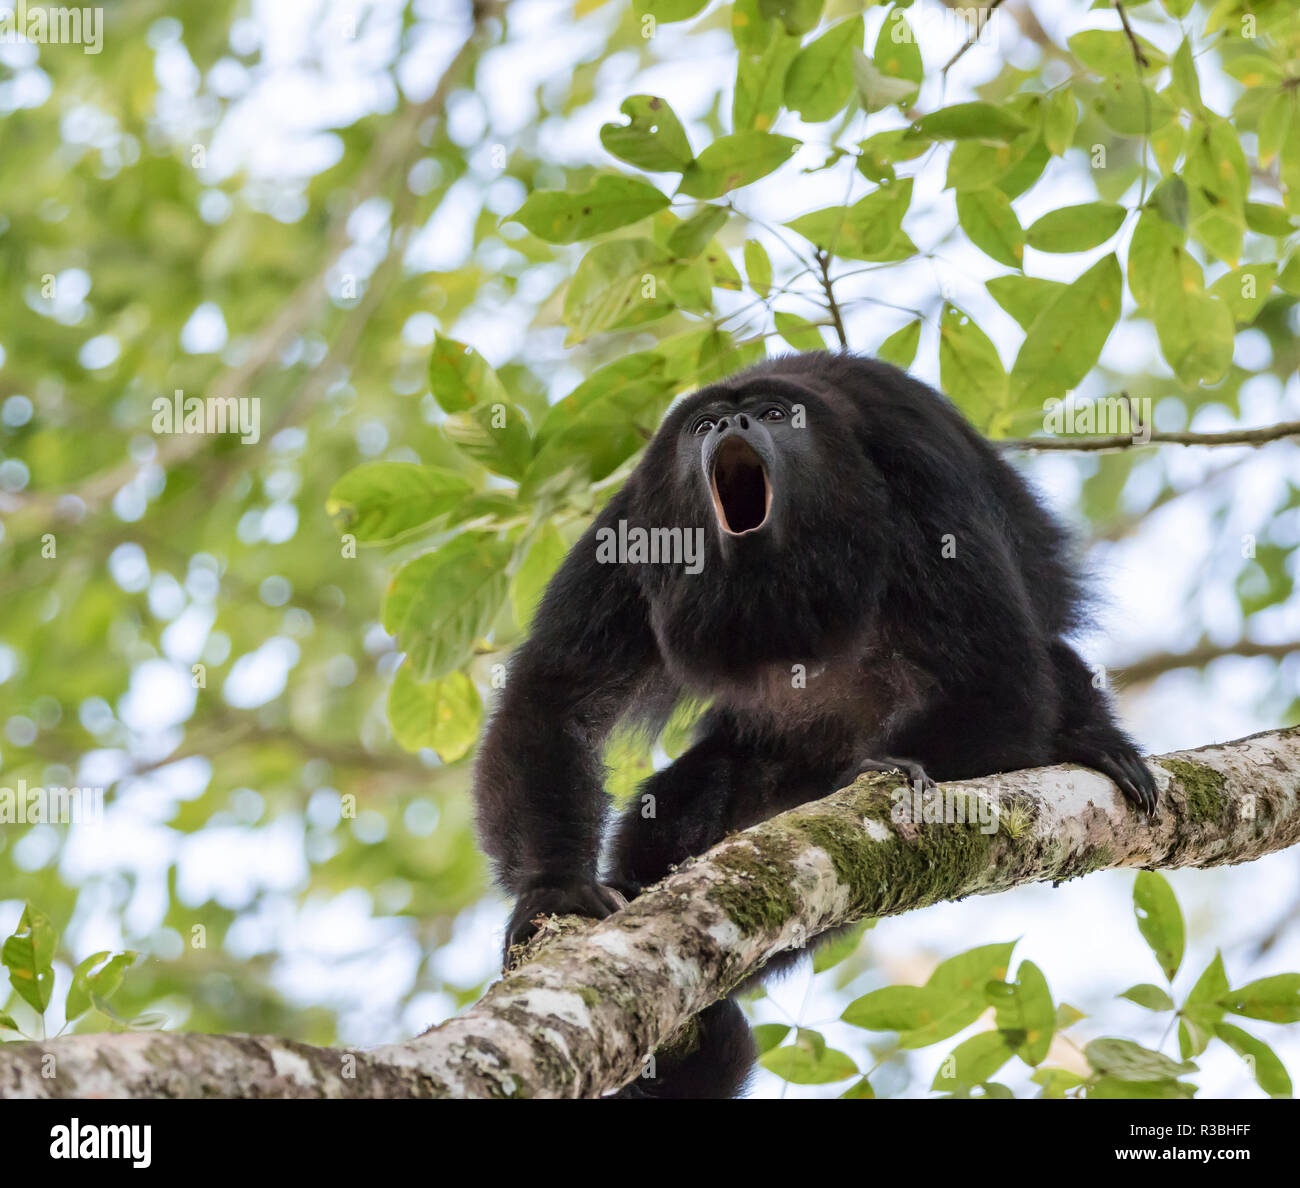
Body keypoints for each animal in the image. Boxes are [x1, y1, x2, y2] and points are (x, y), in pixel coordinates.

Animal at [472, 351, 1157, 1097]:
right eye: (705, 425)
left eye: (774, 416)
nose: (734, 425)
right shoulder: (629, 527)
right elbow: (555, 697)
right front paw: (554, 887)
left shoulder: (919, 473)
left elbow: (999, 673)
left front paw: (891, 771)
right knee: (698, 790)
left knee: (1054, 661)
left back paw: (1095, 743)